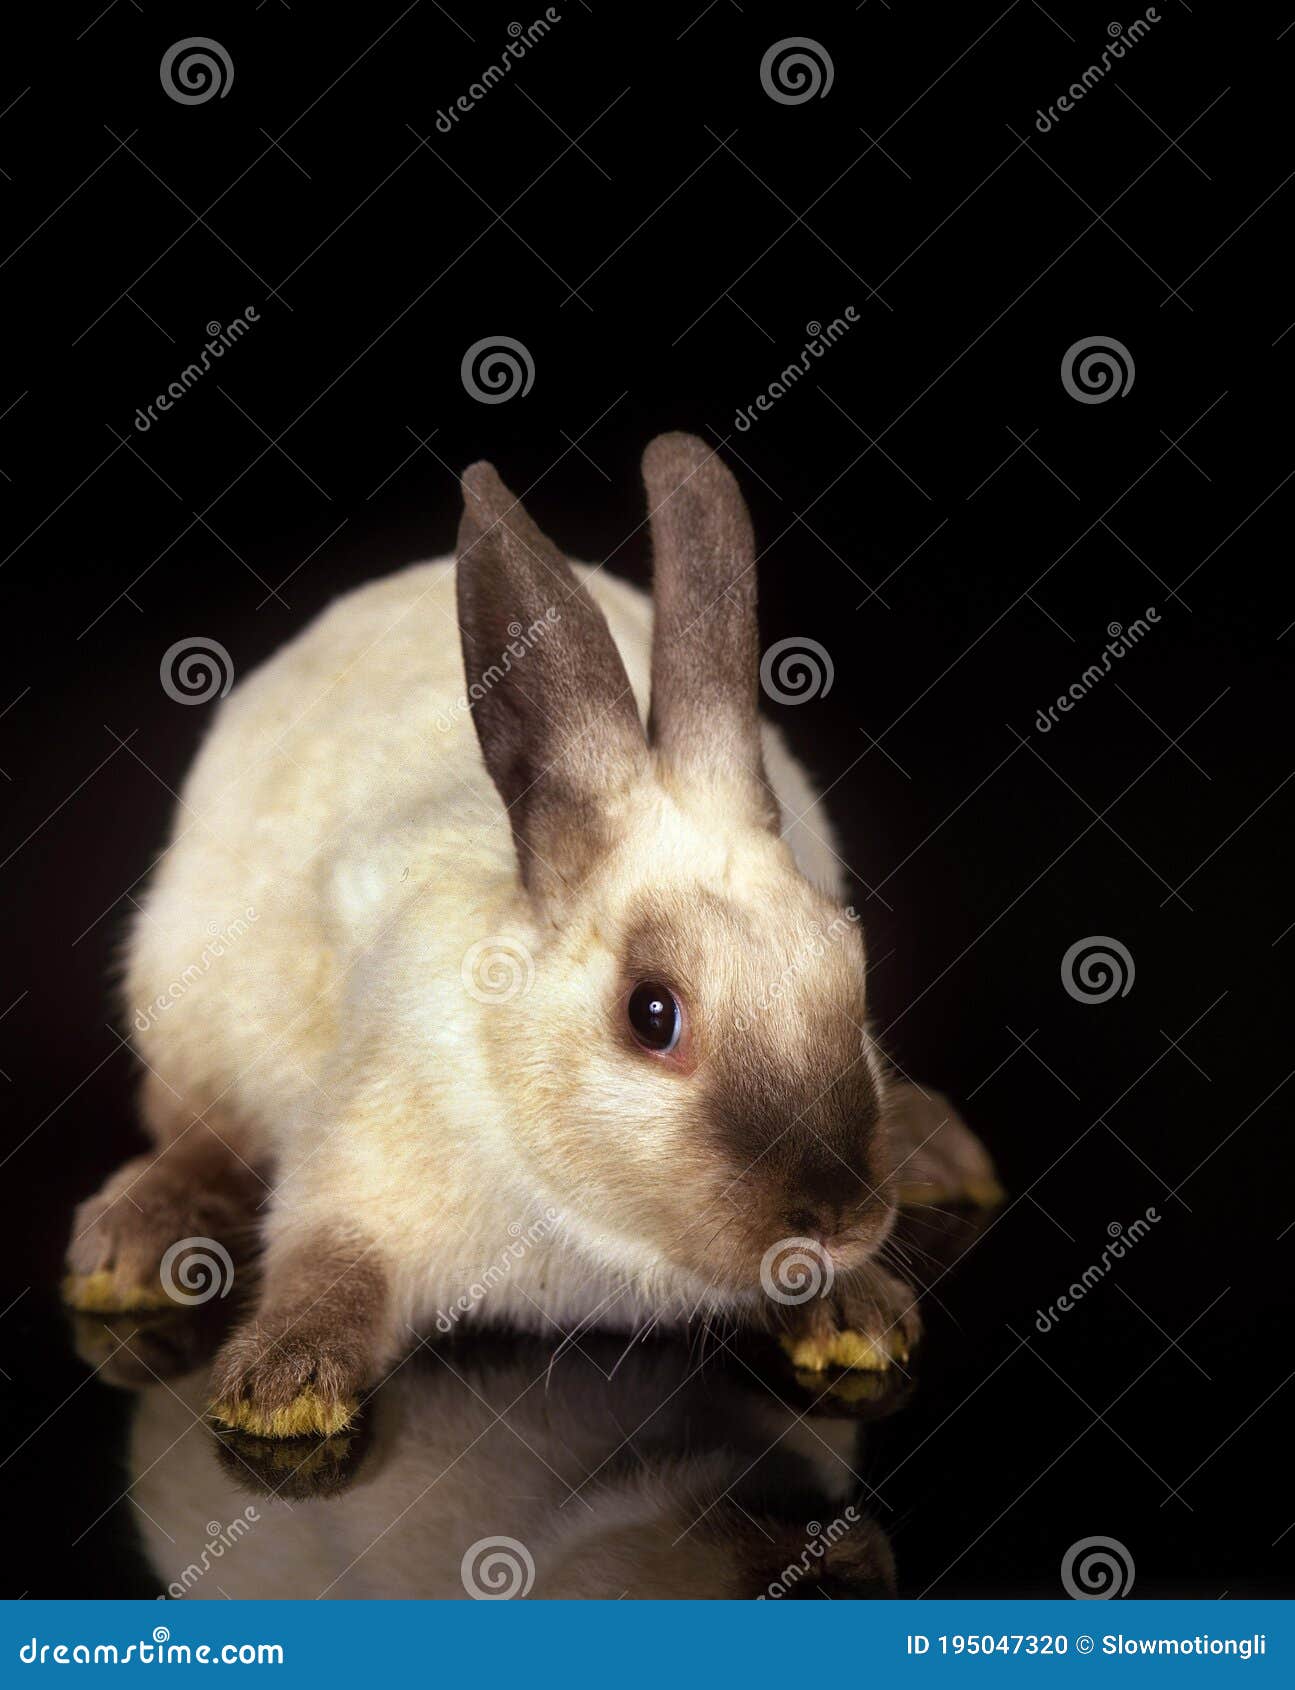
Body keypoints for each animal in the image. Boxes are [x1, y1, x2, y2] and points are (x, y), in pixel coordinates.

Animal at [63, 432, 999, 1438]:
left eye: (849, 968)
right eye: (651, 1015)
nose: (837, 1219)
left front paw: (857, 1314)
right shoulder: (349, 1176)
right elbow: (324, 1269)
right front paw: (281, 1391)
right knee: (197, 1134)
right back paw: (128, 1245)